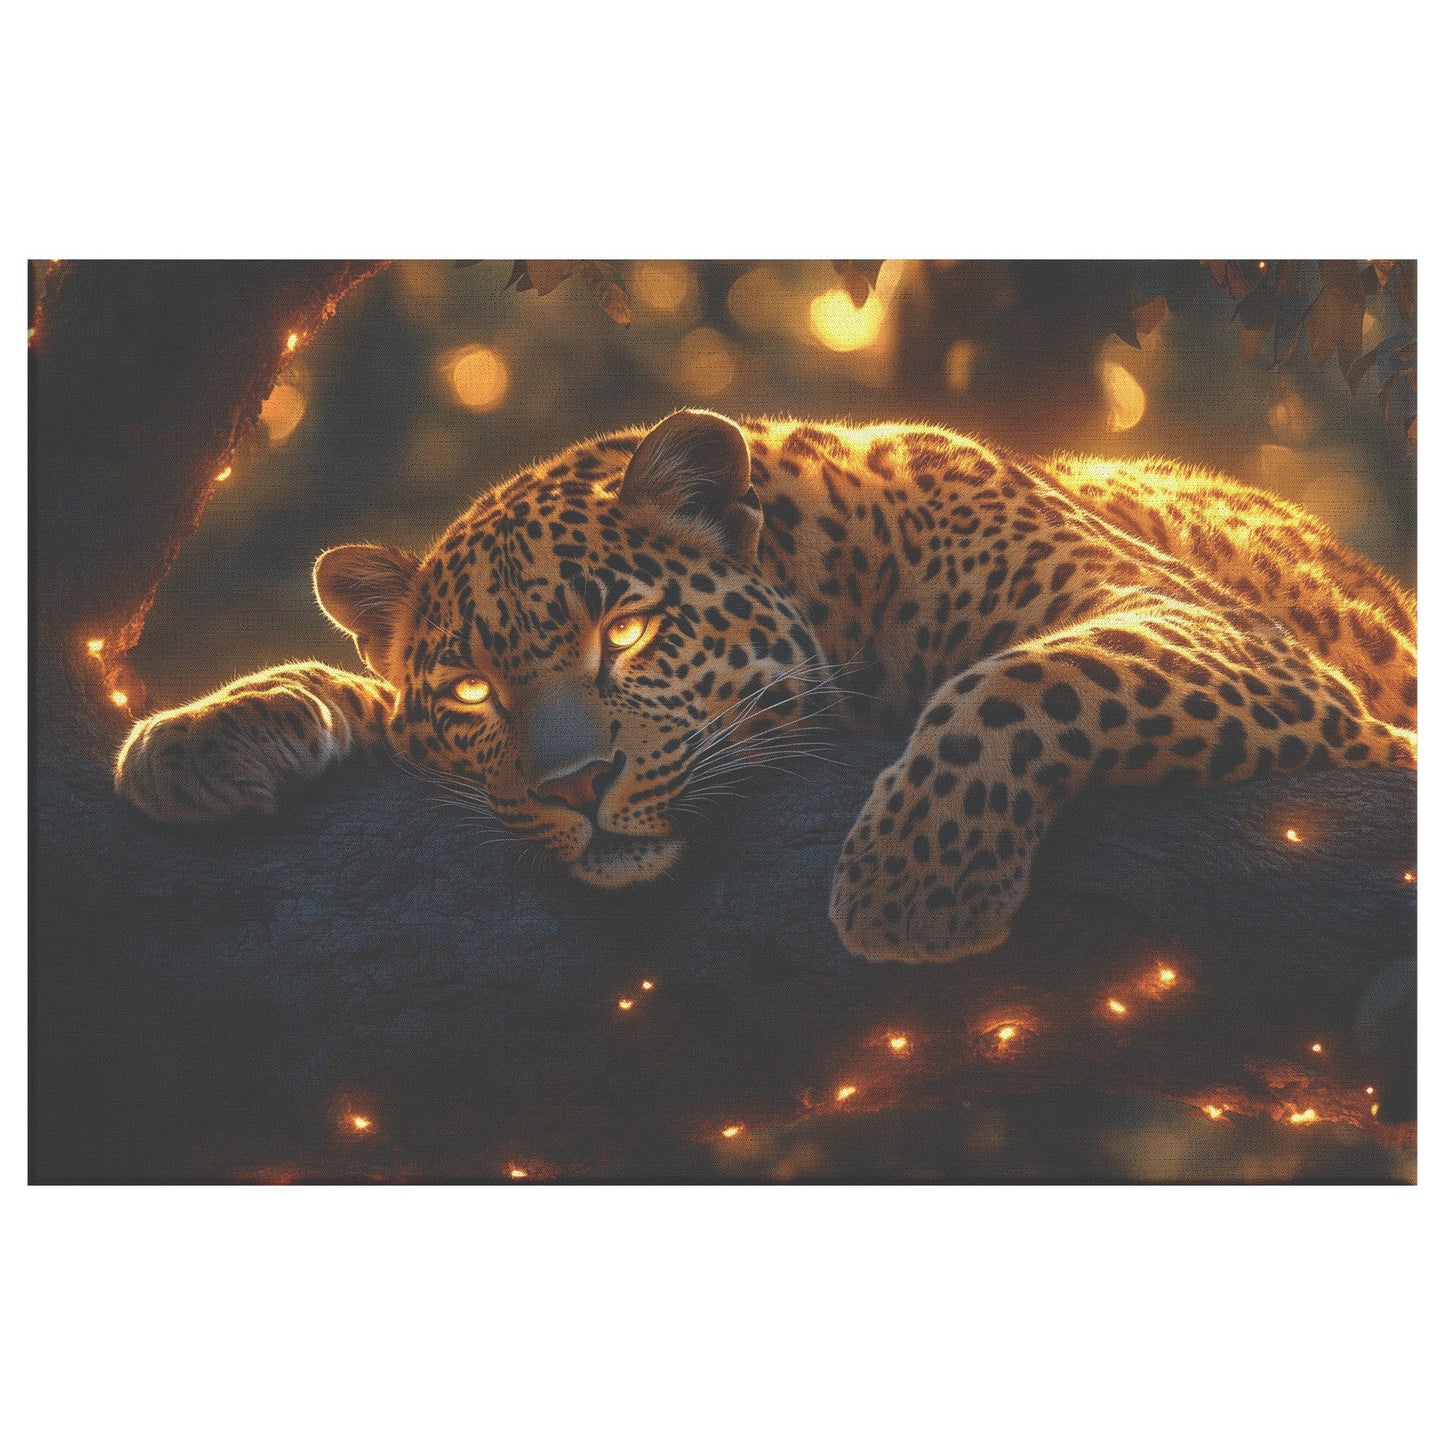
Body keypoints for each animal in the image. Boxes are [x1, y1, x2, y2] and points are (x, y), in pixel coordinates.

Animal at [115, 409, 1417, 963]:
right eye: (475, 695)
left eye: (629, 631)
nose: (577, 783)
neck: (835, 576)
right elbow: (354, 691)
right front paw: (196, 735)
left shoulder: (1225, 632)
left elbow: (1024, 680)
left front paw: (917, 879)